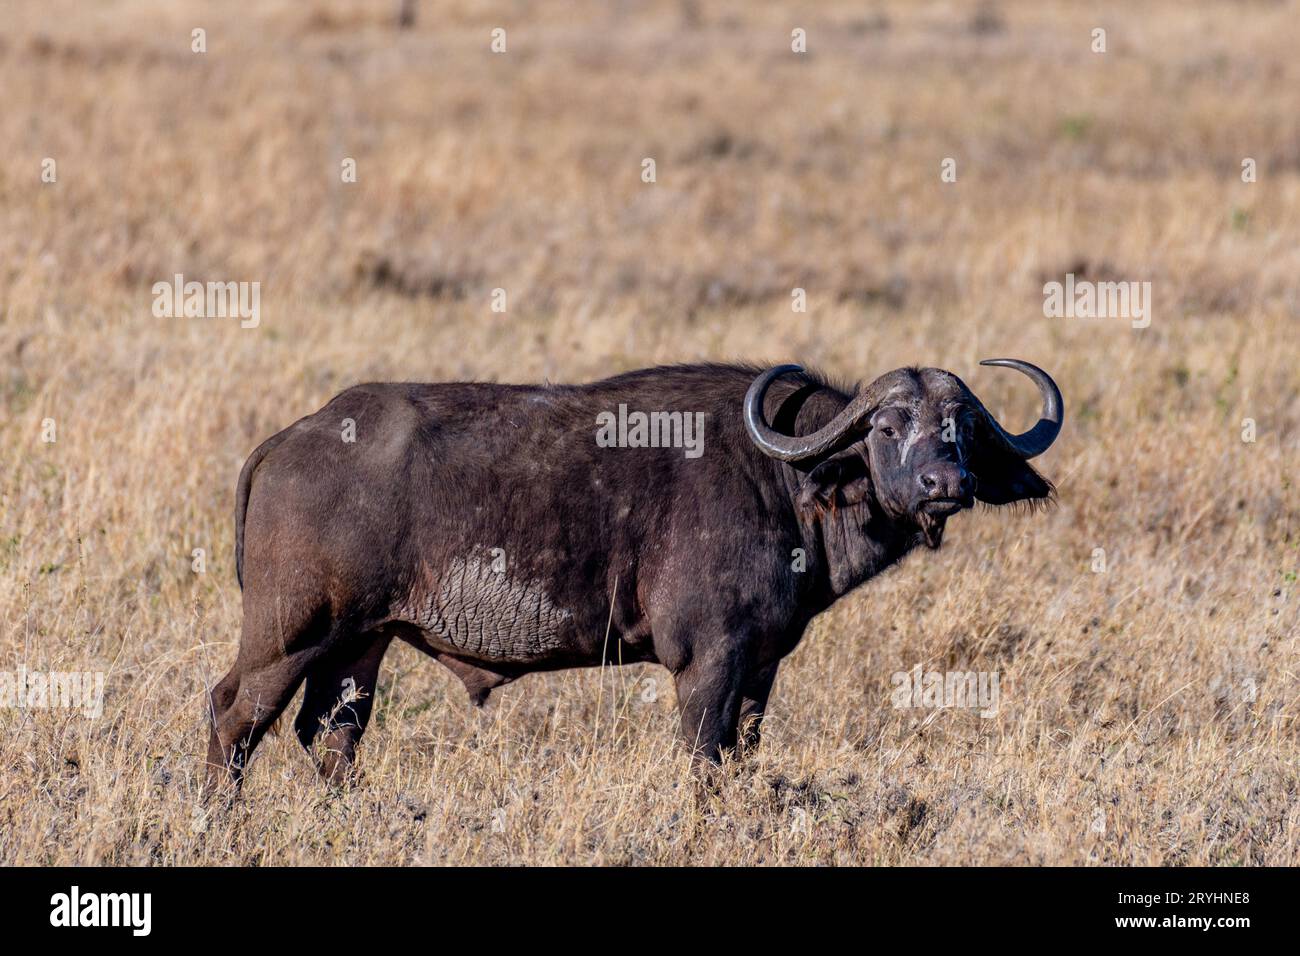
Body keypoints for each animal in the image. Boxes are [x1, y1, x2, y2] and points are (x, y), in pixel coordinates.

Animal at [205, 359, 1061, 790]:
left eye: (962, 429)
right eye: (886, 426)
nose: (946, 484)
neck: (784, 481)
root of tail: (293, 438)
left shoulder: (761, 667)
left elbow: (744, 755)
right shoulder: (708, 662)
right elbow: (704, 761)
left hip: (361, 644)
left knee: (331, 738)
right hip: (289, 636)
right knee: (234, 717)